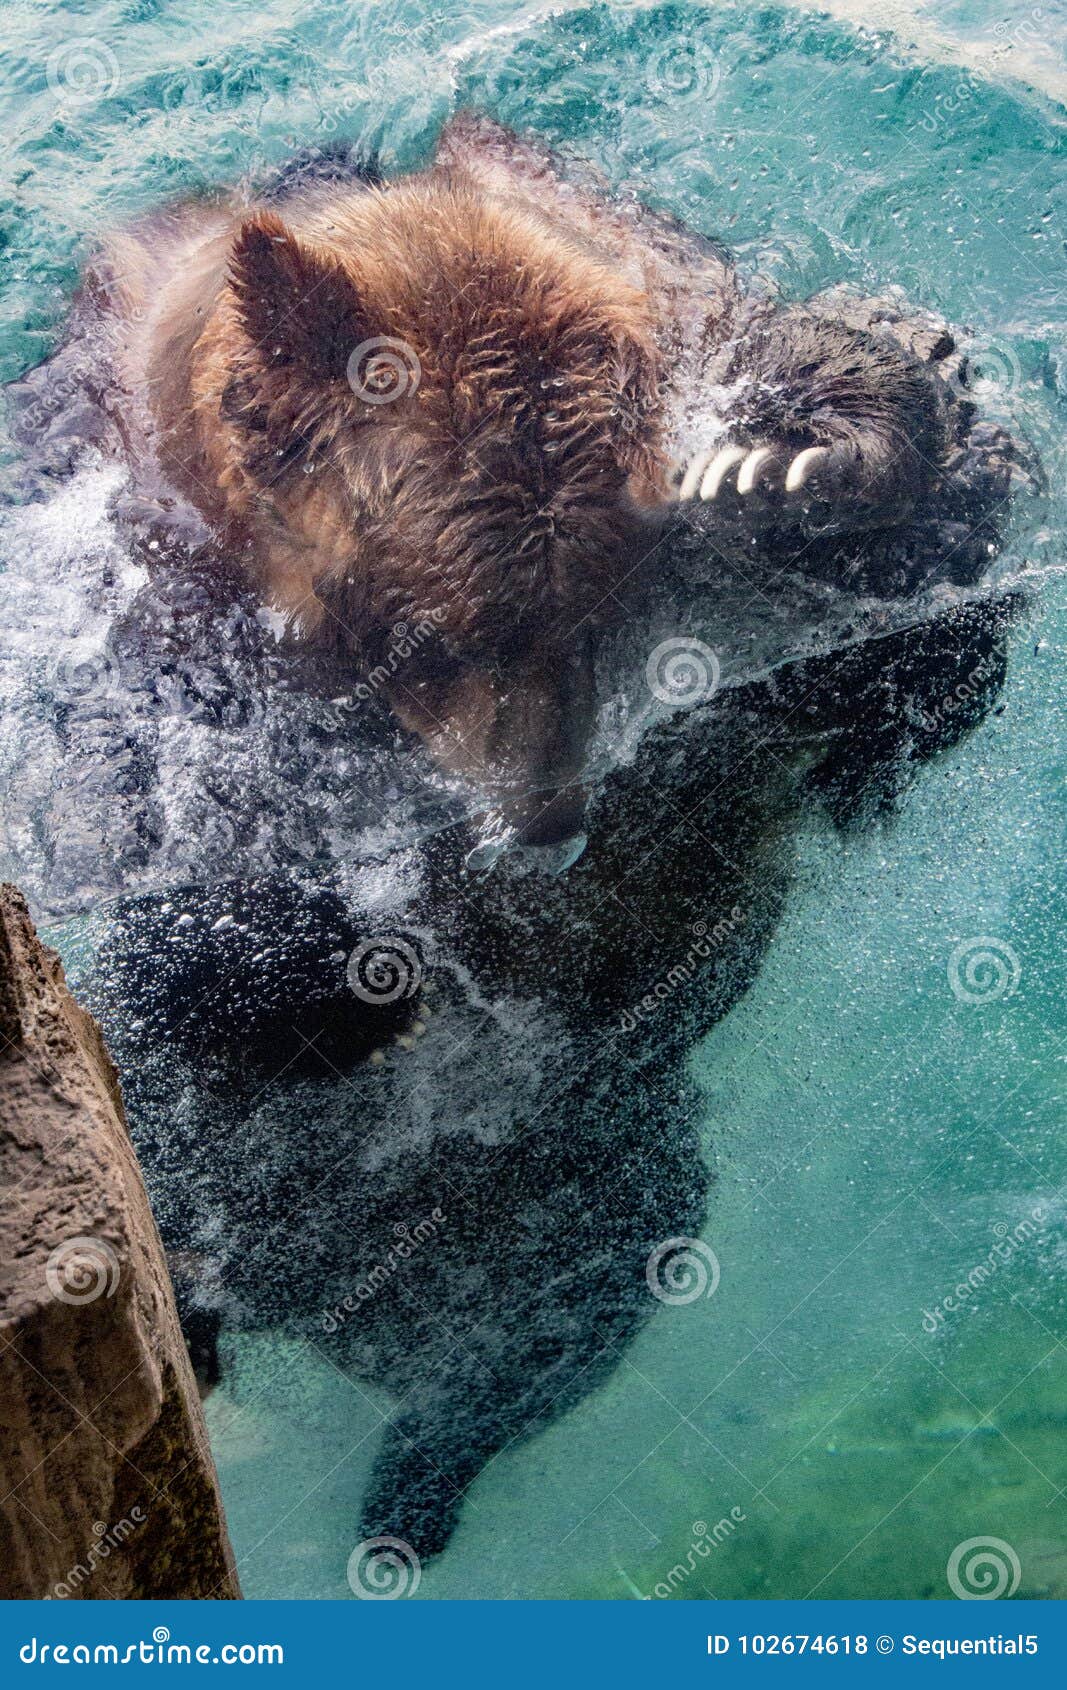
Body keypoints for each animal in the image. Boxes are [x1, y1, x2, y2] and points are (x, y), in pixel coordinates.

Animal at [10, 113, 1032, 1568]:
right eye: (440, 628)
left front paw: (805, 442)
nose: (547, 815)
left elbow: (904, 613)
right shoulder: (142, 617)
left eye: (604, 603)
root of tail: (316, 1298)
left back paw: (413, 1477)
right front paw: (337, 942)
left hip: (611, 1143)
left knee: (583, 1297)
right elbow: (173, 867)